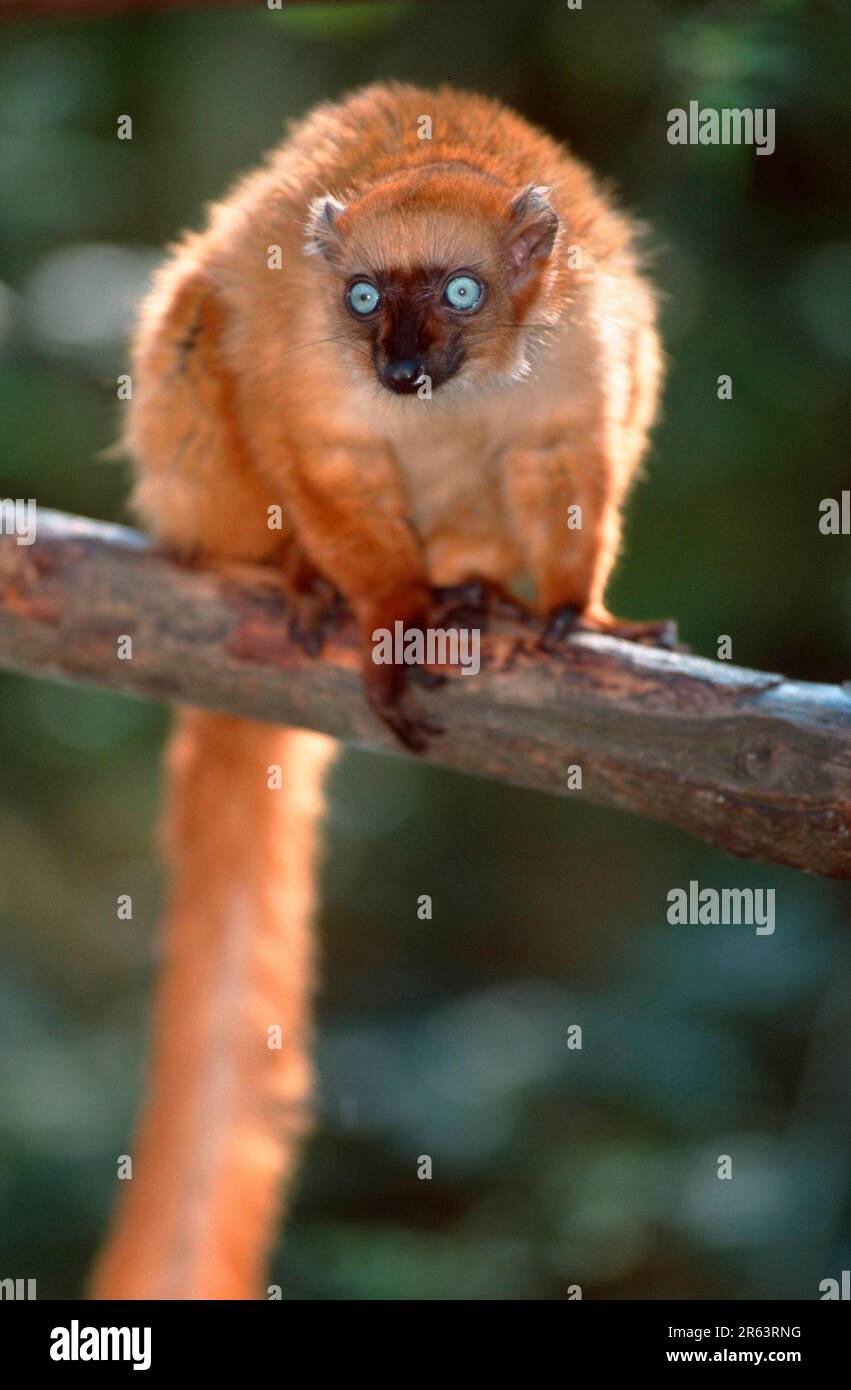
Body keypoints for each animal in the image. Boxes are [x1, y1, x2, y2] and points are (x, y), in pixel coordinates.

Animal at [89, 83, 669, 1299]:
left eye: (458, 292)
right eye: (362, 299)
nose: (400, 369)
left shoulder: (583, 341)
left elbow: (569, 454)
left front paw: (577, 611)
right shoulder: (315, 361)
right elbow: (320, 450)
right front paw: (390, 607)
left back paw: (481, 590)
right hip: (194, 486)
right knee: (203, 323)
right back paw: (301, 577)